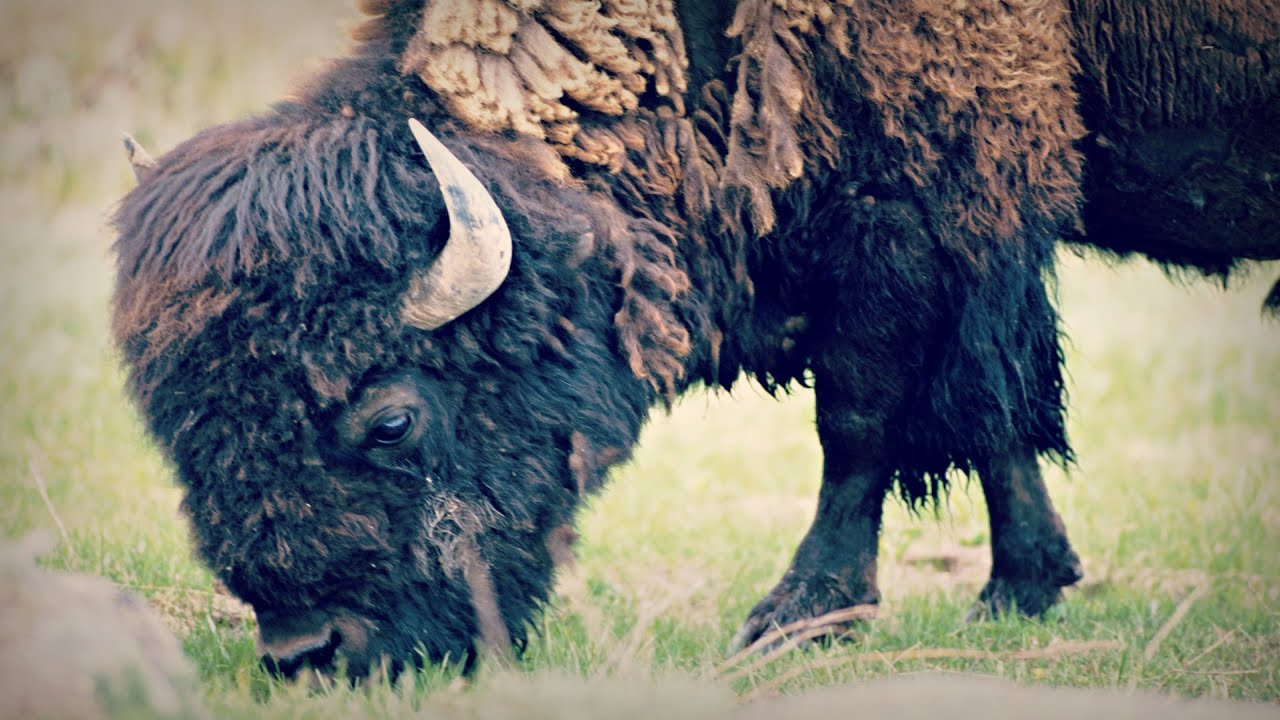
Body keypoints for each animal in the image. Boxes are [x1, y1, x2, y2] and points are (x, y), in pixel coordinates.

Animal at [112, 0, 1277, 679]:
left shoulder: (914, 222)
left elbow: (861, 422)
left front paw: (799, 617)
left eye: (392, 420)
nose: (308, 653)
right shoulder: (979, 232)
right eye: (179, 430)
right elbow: (995, 422)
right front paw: (1021, 587)